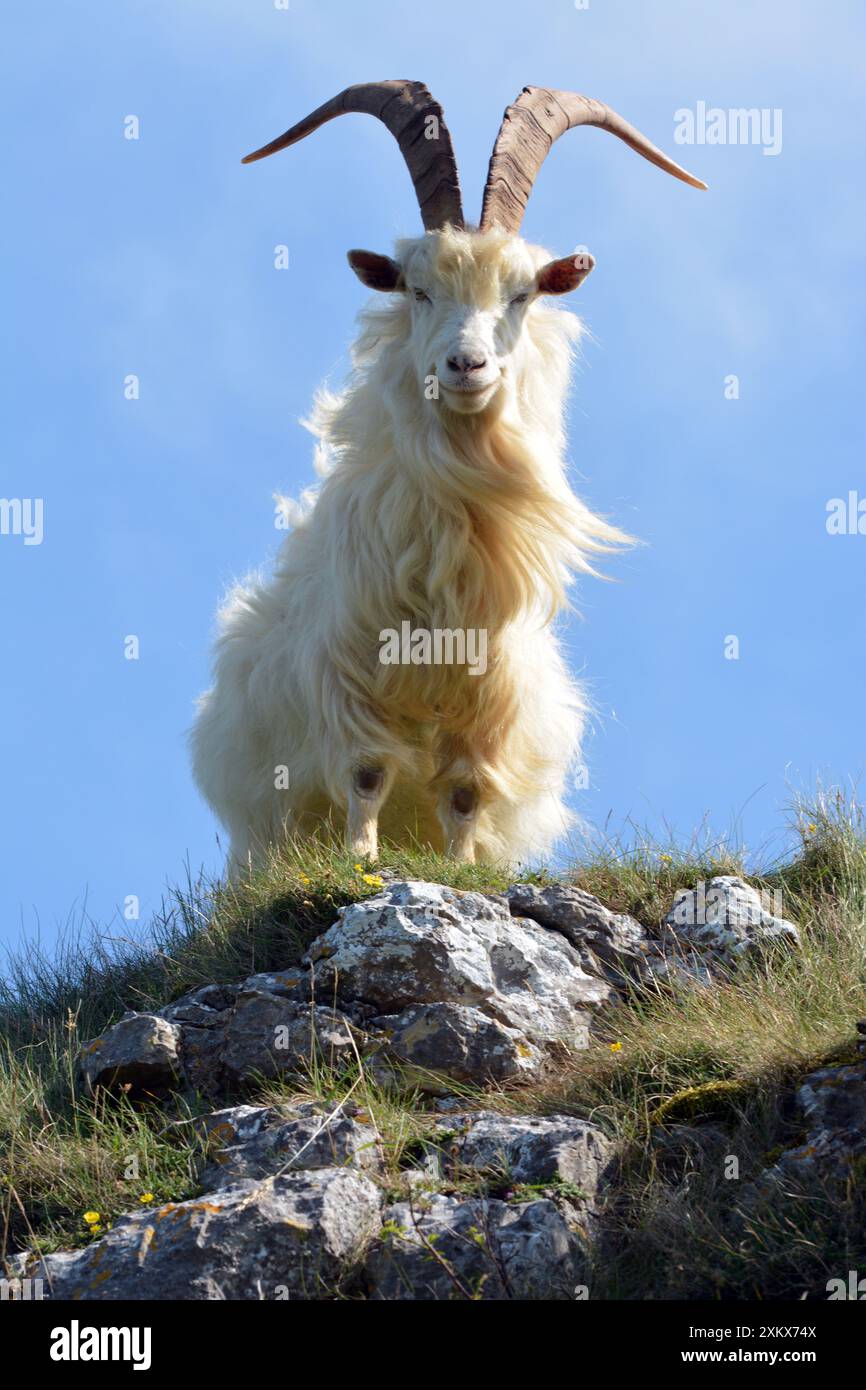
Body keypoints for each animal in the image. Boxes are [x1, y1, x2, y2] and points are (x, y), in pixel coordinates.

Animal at [191, 82, 704, 869]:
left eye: (525, 294)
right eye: (417, 290)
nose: (467, 365)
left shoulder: (489, 702)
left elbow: (465, 791)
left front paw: (459, 871)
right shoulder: (351, 677)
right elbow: (366, 773)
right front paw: (362, 860)